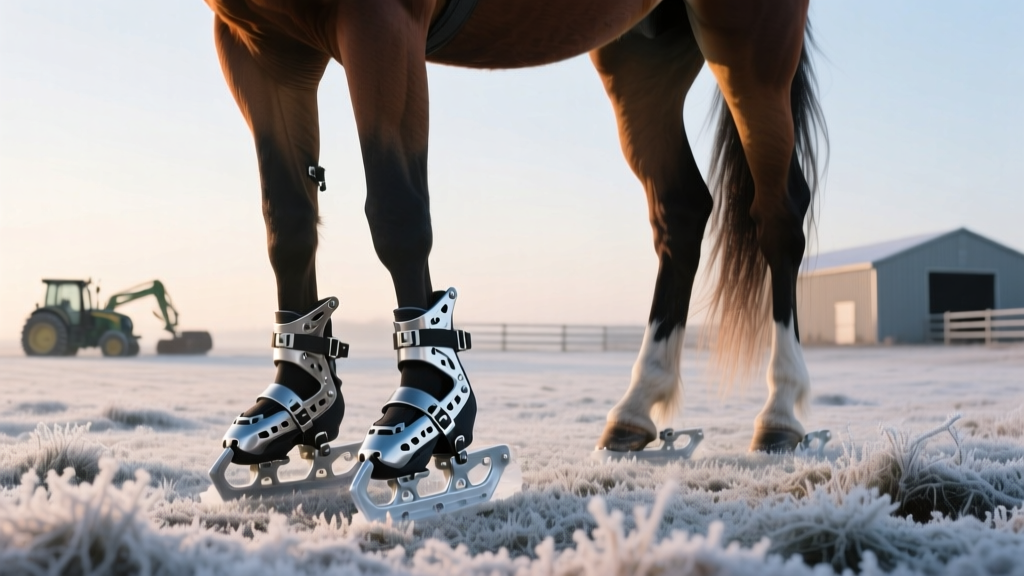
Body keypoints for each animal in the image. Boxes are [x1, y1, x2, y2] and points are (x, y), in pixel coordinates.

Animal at [204, 0, 827, 496]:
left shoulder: (381, 25)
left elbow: (397, 213)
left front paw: (425, 409)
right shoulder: (259, 47)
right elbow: (288, 224)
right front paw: (294, 402)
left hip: (748, 39)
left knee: (778, 214)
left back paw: (782, 409)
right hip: (643, 56)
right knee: (681, 209)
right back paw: (638, 404)